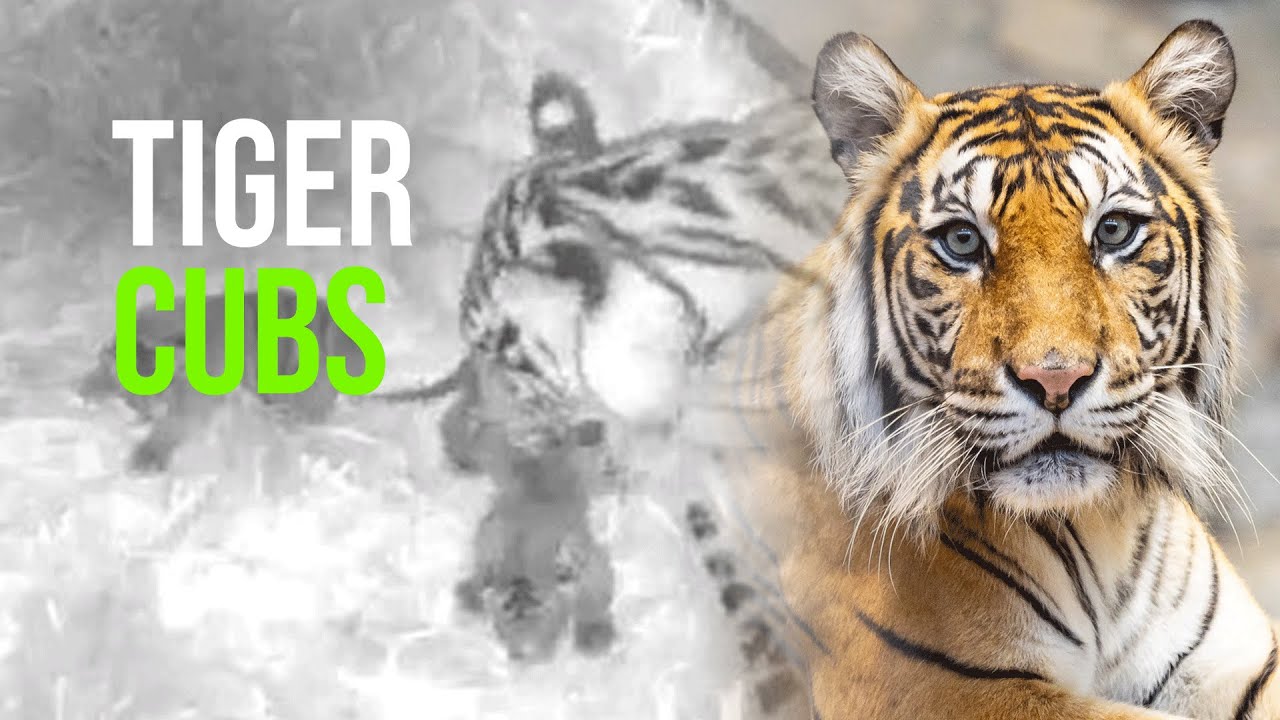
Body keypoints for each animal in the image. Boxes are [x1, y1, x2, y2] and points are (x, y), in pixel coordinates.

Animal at [77, 289, 366, 471]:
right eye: (135, 398)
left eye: (158, 395)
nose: (147, 414)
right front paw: (86, 387)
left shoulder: (193, 405)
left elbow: (170, 427)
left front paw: (147, 457)